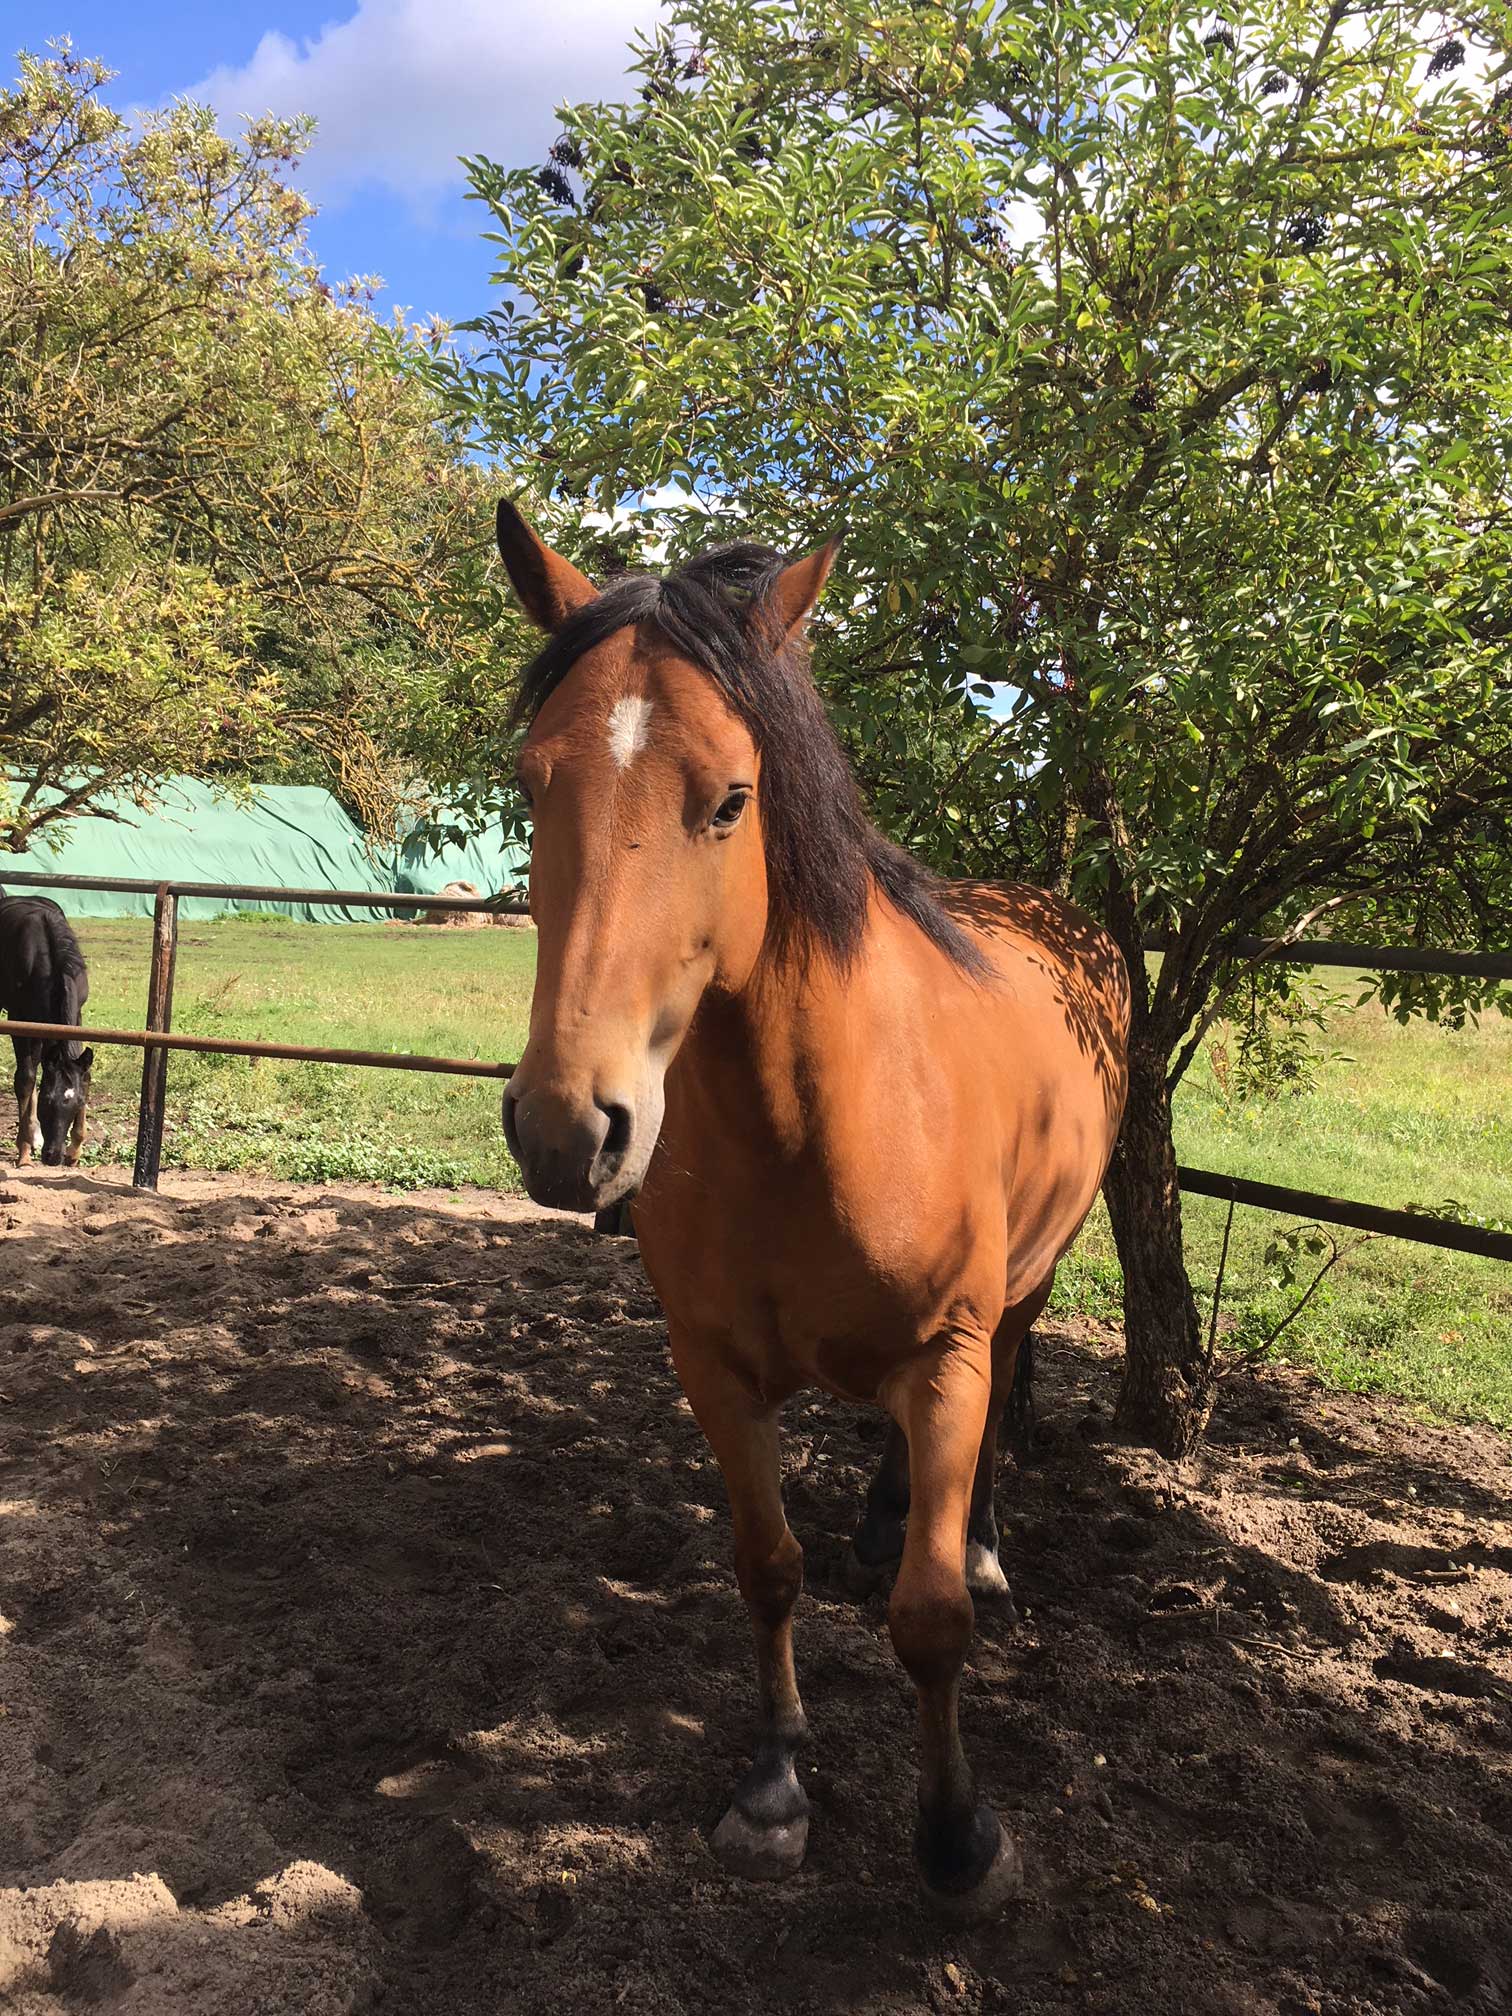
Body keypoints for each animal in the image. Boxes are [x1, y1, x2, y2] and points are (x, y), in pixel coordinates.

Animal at [0, 895, 94, 1167]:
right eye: (47, 1100)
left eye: (77, 1103)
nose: (54, 1156)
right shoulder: (19, 1019)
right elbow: (26, 1079)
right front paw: (23, 1152)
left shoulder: (77, 1015)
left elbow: (83, 1074)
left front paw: (75, 1150)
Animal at [493, 501, 1130, 1912]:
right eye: (529, 784)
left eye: (732, 800)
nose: (570, 1131)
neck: (810, 1126)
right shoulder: (715, 1369)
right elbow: (766, 1569)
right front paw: (776, 1784)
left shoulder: (945, 1352)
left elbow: (932, 1620)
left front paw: (958, 1835)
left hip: (1023, 1291)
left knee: (995, 1413)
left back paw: (980, 1544)